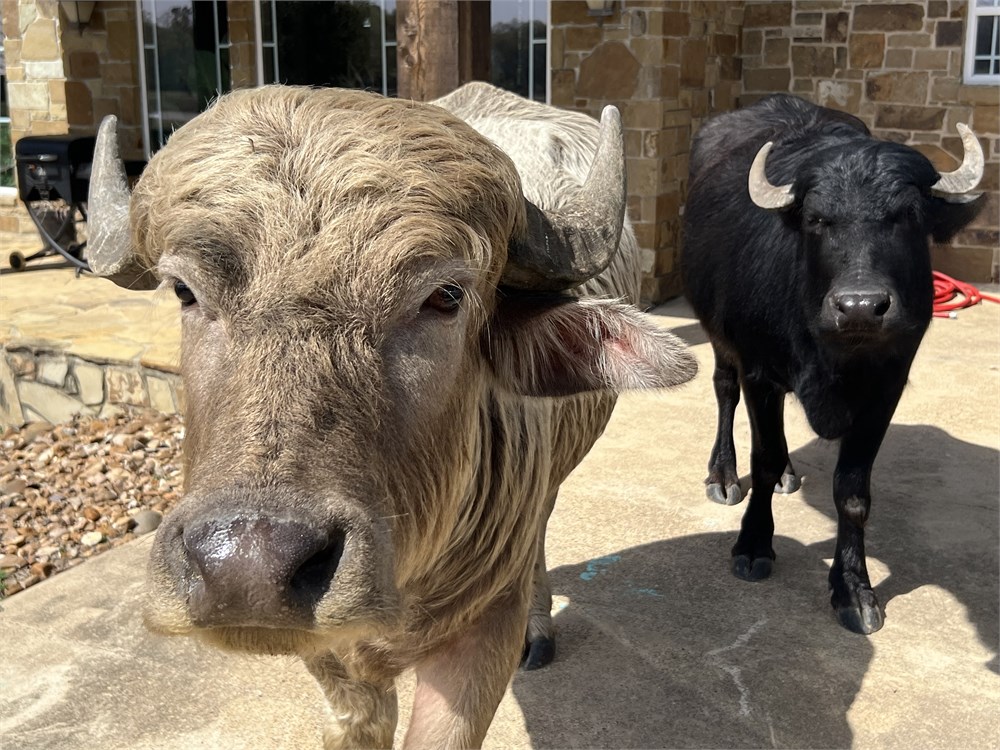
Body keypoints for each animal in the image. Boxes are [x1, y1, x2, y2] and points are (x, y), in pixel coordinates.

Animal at [681, 93, 985, 634]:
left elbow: (853, 492)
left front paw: (852, 587)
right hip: (718, 336)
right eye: (816, 219)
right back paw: (722, 474)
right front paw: (753, 544)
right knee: (724, 389)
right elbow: (763, 458)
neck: (836, 355)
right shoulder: (760, 373)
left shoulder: (886, 388)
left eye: (908, 214)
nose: (860, 307)